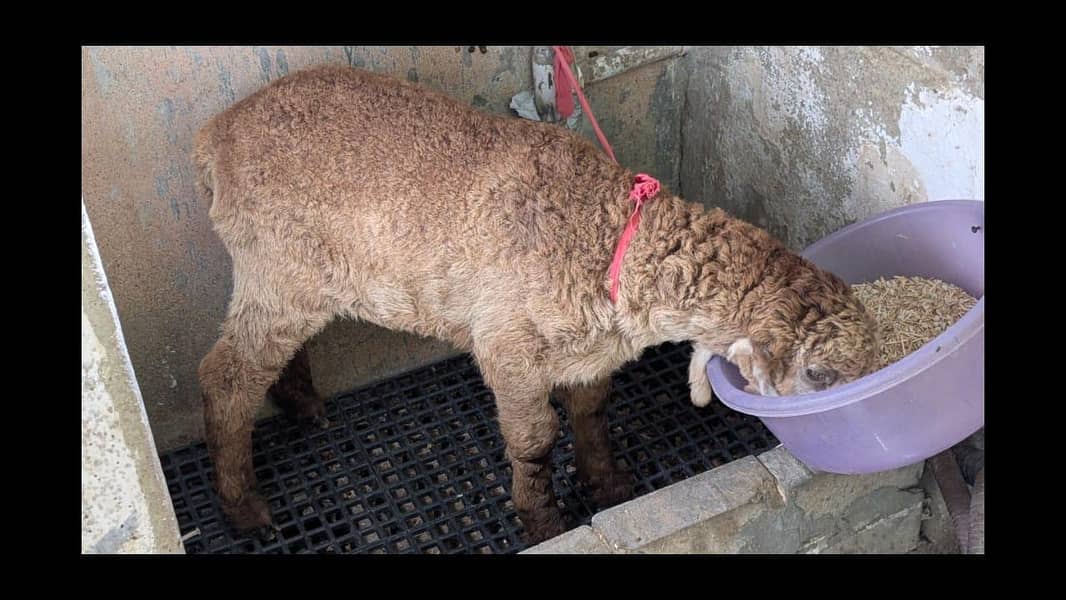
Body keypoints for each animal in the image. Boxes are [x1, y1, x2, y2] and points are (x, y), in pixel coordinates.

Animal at [193, 64, 879, 545]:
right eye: (818, 373)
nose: (860, 428)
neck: (611, 239)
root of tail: (211, 136)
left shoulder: (590, 348)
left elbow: (593, 411)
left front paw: (609, 483)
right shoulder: (508, 342)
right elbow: (534, 438)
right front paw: (543, 519)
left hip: (293, 274)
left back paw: (302, 402)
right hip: (276, 261)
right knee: (226, 374)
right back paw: (244, 507)